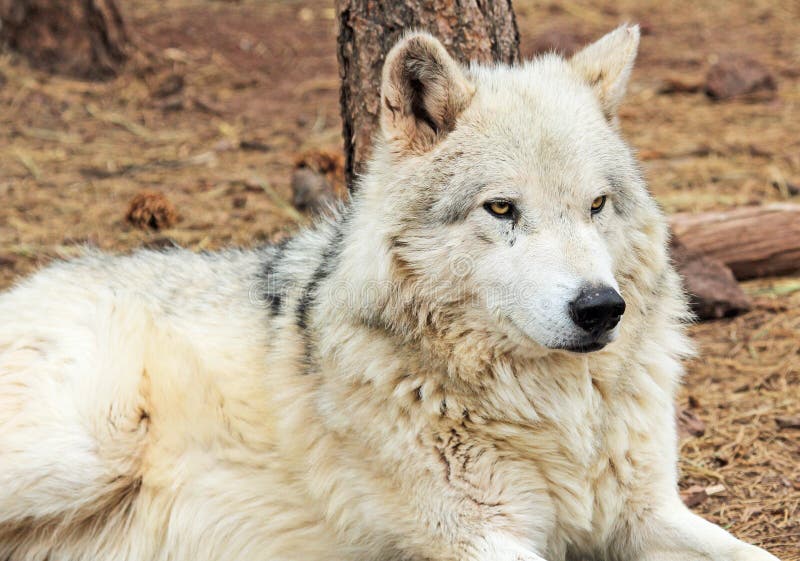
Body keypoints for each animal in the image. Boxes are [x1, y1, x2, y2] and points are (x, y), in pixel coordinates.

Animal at [0, 25, 781, 561]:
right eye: (502, 208)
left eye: (596, 205)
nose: (600, 308)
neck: (550, 411)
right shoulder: (477, 533)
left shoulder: (644, 514)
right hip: (86, 452)